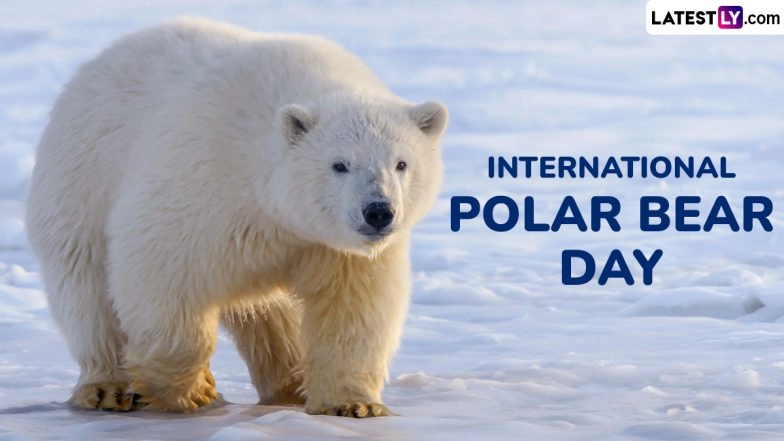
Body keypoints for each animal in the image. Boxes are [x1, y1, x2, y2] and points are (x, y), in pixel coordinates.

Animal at [25, 17, 447, 417]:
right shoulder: (204, 181)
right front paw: (192, 390)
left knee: (271, 316)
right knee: (88, 290)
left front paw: (353, 404)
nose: (378, 211)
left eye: (401, 163)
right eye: (339, 164)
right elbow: (159, 267)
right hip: (81, 182)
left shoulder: (331, 246)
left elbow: (352, 308)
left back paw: (289, 384)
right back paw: (107, 387)